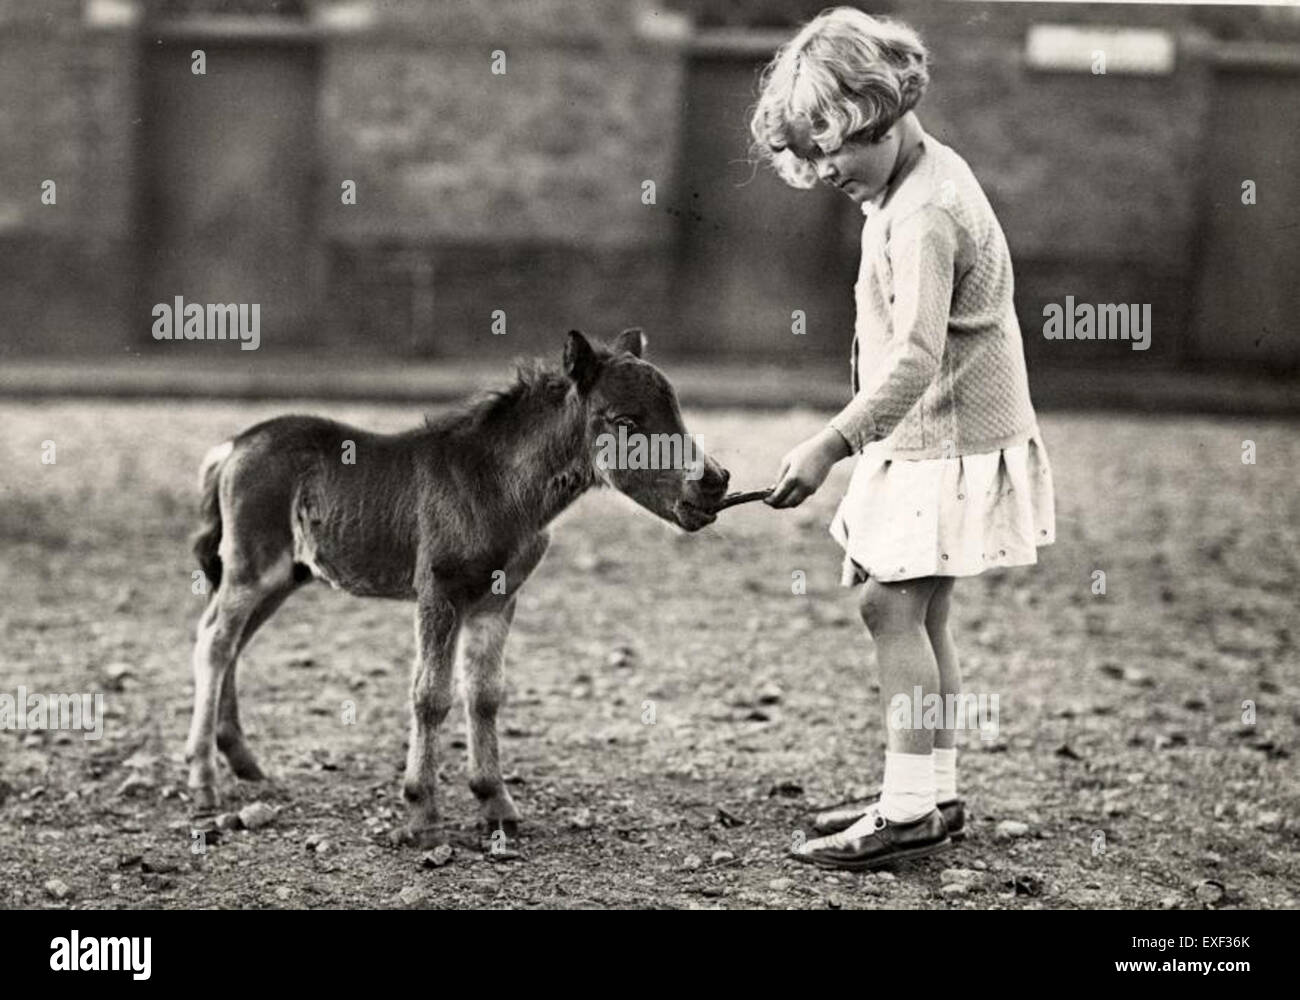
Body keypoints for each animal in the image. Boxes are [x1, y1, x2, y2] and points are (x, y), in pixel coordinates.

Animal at [185, 328, 730, 846]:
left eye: (676, 411)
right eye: (624, 421)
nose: (713, 482)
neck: (495, 488)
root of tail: (233, 446)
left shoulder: (497, 600)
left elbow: (485, 694)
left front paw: (496, 804)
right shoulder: (438, 593)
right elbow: (431, 695)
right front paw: (422, 813)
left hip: (282, 578)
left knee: (233, 644)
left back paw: (243, 762)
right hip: (253, 569)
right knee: (214, 642)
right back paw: (203, 779)